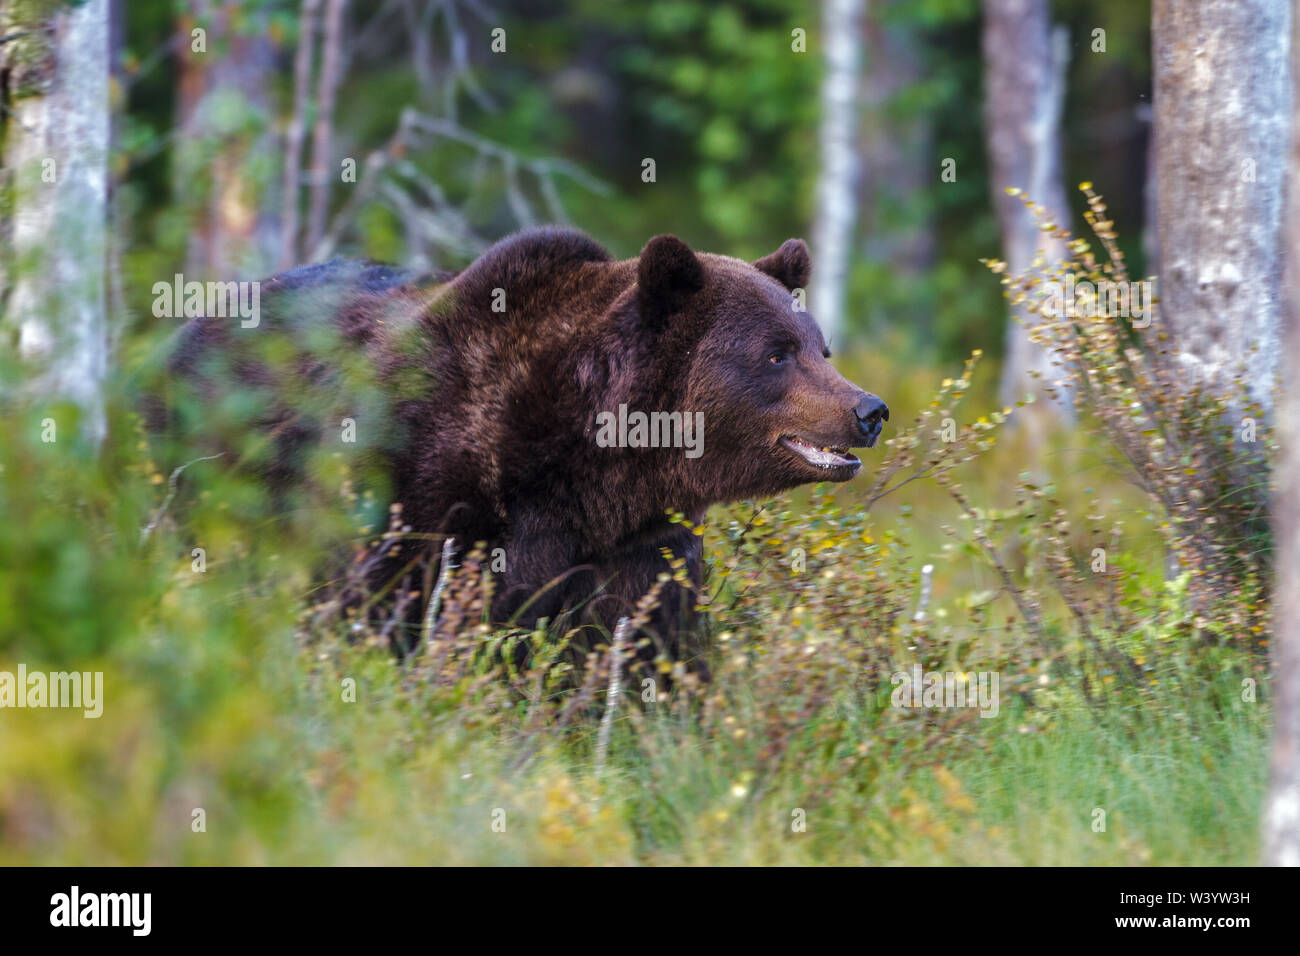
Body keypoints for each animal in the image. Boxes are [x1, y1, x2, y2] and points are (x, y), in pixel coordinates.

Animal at [164, 227, 889, 672]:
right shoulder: (427, 486)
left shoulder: (637, 544)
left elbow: (644, 645)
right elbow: (388, 602)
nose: (869, 410)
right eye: (776, 353)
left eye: (820, 347)